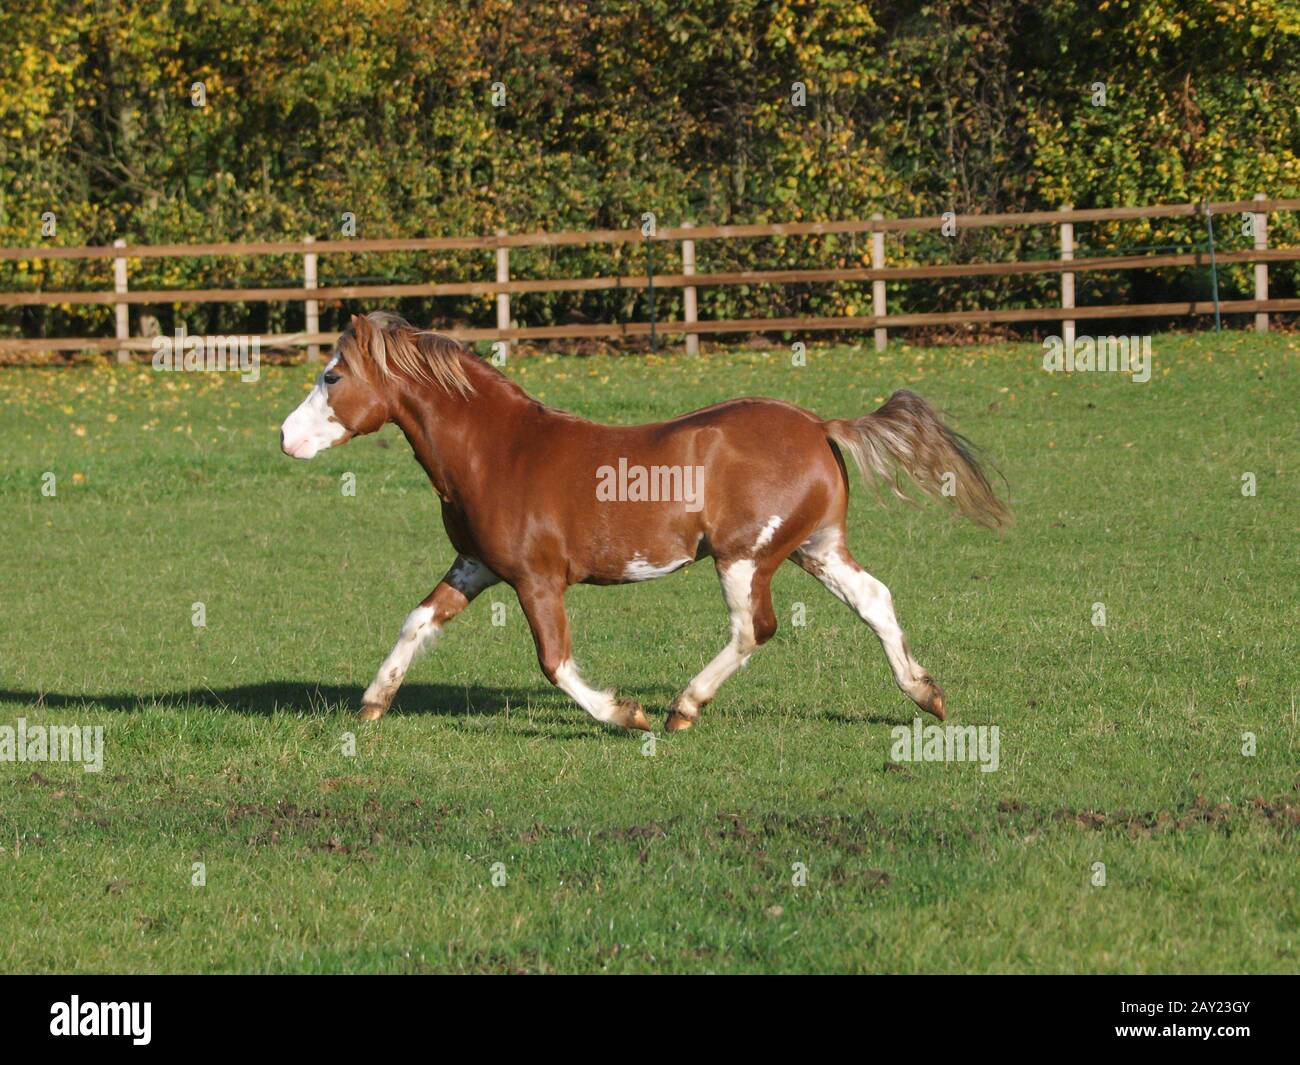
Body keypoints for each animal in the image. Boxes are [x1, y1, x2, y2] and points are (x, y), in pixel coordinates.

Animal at [280, 311, 1010, 732]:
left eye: (332, 376)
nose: (284, 436)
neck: (499, 449)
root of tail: (819, 426)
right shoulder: (476, 565)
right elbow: (418, 620)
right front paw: (372, 703)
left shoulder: (537, 580)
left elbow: (555, 662)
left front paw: (625, 714)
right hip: (815, 548)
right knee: (875, 600)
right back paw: (927, 695)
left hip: (745, 556)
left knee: (754, 628)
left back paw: (682, 708)